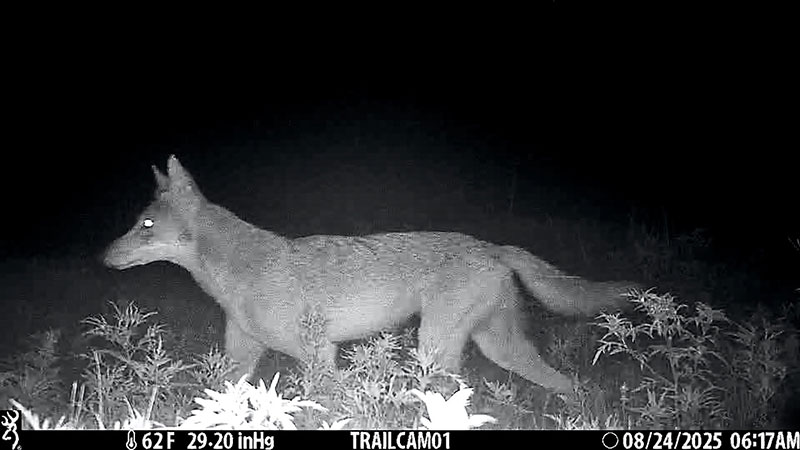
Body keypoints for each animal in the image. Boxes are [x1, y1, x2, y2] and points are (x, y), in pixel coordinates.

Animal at [103, 155, 636, 393]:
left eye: (145, 225)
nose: (104, 256)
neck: (233, 274)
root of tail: (494, 246)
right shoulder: (242, 359)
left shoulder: (319, 354)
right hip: (496, 348)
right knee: (566, 386)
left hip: (436, 348)